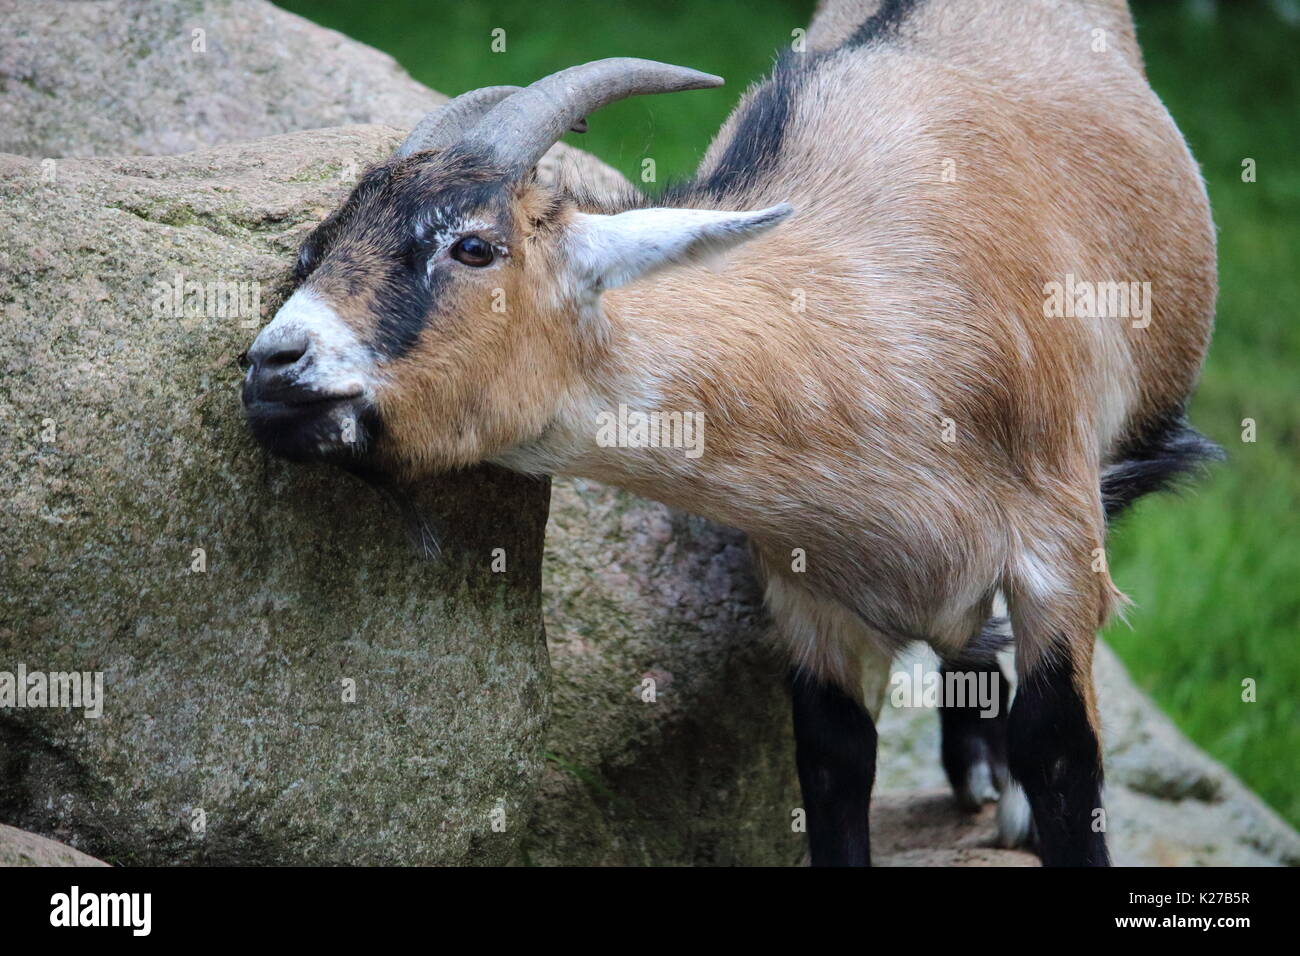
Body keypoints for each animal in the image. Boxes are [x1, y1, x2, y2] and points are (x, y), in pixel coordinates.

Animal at [241, 0, 1219, 866]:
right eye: (314, 248)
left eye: (474, 247)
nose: (272, 367)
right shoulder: (808, 586)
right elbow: (831, 762)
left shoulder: (1059, 553)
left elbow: (1060, 755)